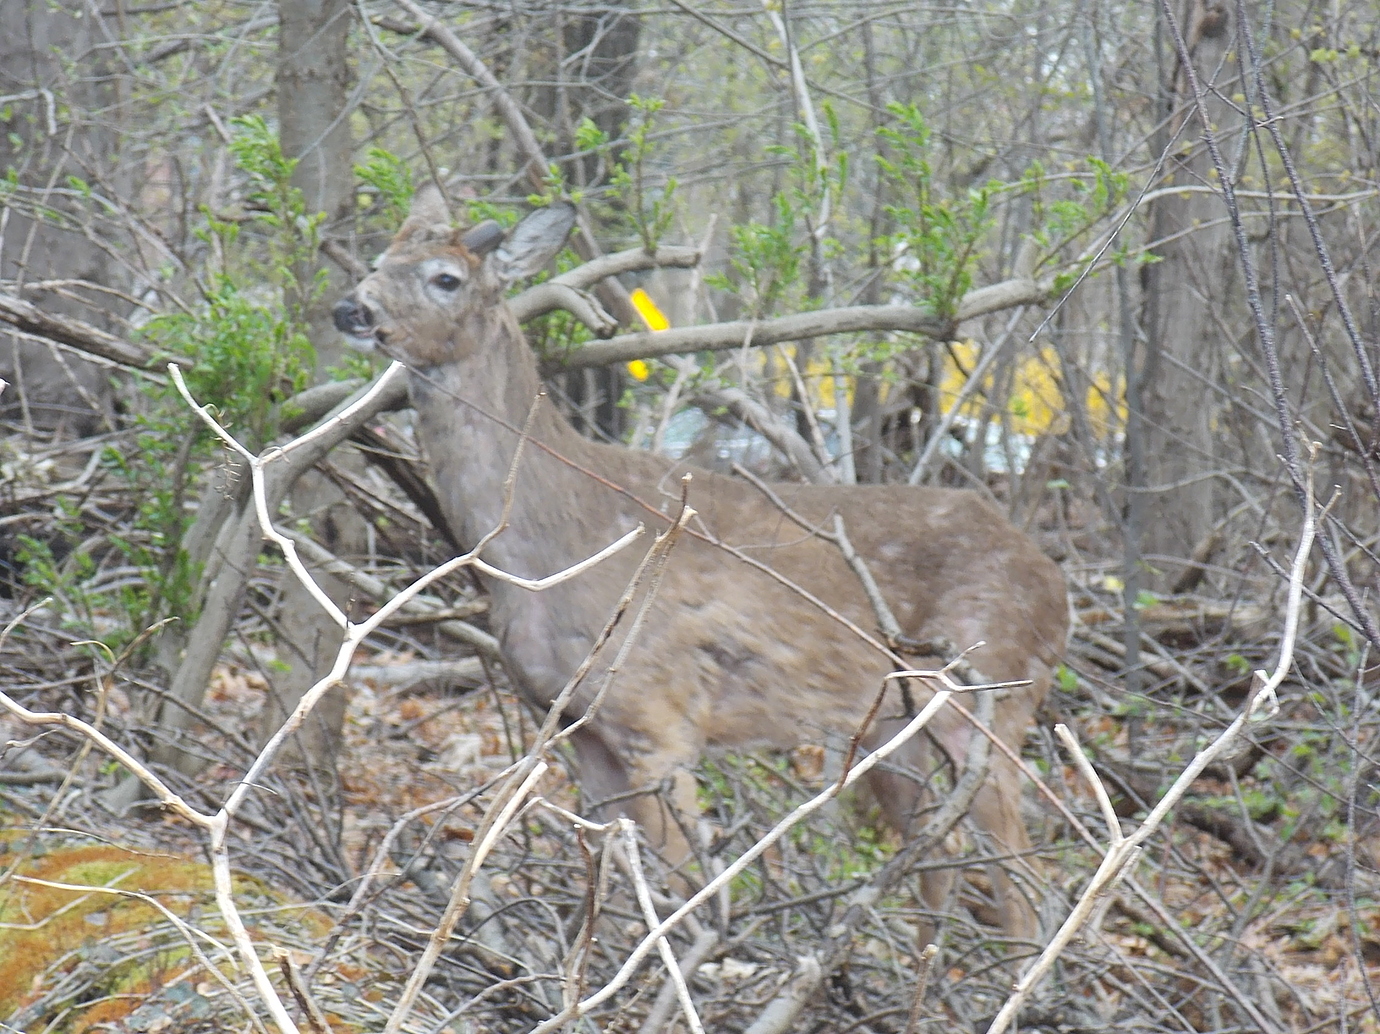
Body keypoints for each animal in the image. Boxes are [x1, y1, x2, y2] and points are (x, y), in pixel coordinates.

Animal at [332, 188, 1070, 941]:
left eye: (445, 278)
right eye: (378, 260)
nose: (350, 310)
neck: (551, 552)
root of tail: (1054, 583)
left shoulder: (658, 715)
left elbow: (687, 895)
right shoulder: (580, 730)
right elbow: (613, 895)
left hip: (990, 694)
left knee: (1029, 889)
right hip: (895, 729)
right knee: (937, 864)